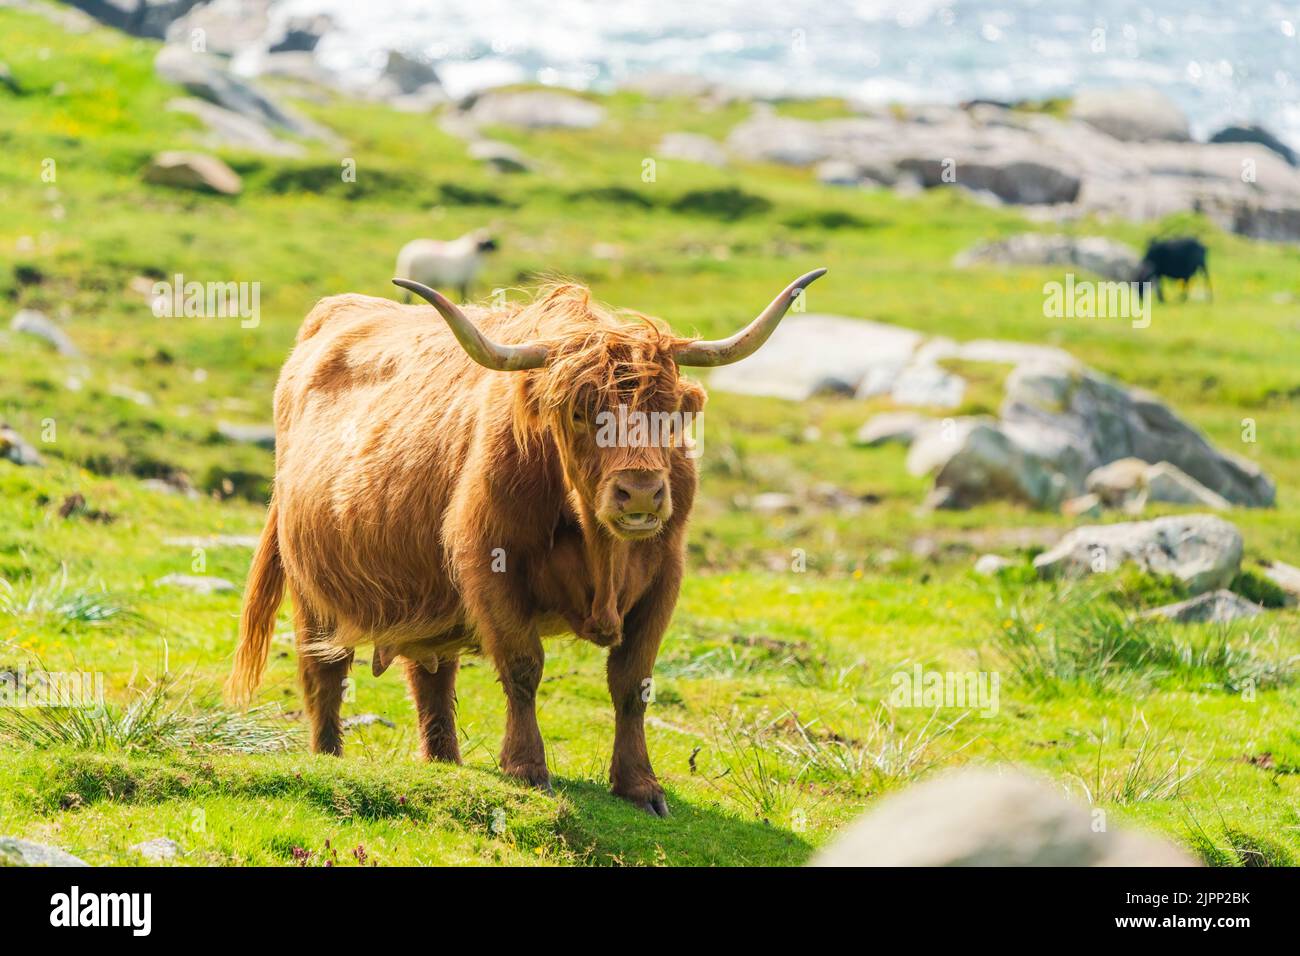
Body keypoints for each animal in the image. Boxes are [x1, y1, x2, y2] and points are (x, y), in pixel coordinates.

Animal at [227, 268, 826, 815]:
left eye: (670, 414)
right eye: (581, 413)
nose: (640, 492)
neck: (600, 549)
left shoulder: (664, 577)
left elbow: (632, 682)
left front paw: (640, 786)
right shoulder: (491, 564)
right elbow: (522, 669)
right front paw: (527, 768)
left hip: (426, 599)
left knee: (431, 677)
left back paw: (444, 763)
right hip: (310, 586)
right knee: (325, 673)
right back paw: (329, 757)